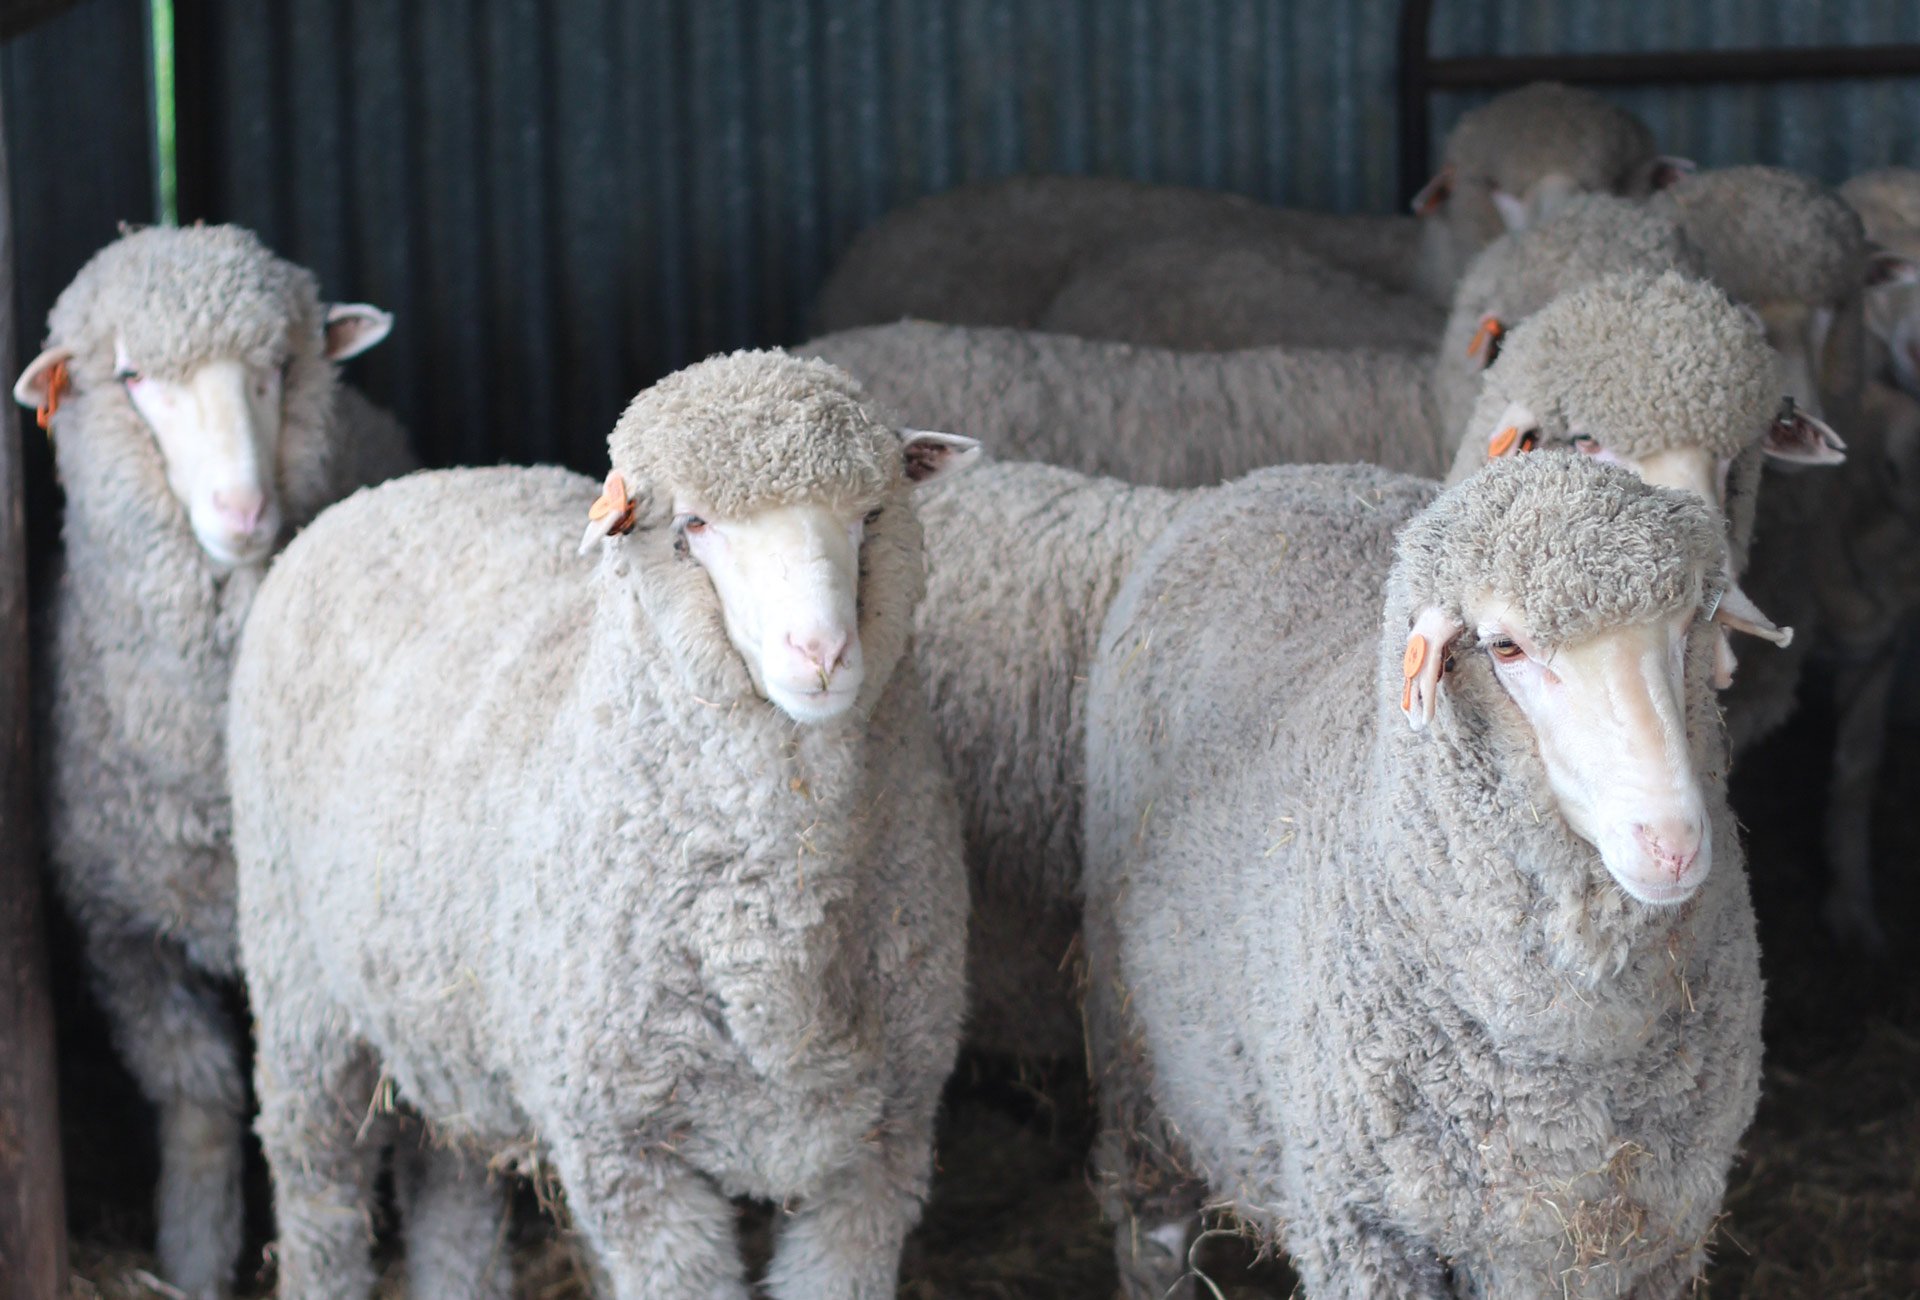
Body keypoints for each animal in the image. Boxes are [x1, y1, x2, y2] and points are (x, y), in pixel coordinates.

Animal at [7, 223, 408, 1300]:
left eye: (280, 367)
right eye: (132, 377)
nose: (243, 509)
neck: (203, 781)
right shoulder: (123, 933)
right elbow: (198, 1102)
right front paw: (189, 1256)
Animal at [225, 350, 979, 1300]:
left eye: (871, 514)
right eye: (694, 525)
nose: (822, 655)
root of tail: (398, 488)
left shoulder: (879, 1152)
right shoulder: (629, 1157)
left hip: (443, 1019)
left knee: (451, 1177)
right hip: (296, 981)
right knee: (318, 1184)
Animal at [1081, 454, 1762, 1300]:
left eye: (1687, 625)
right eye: (1505, 648)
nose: (1670, 843)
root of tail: (1281, 475)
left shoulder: (1643, 1239)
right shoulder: (1364, 1232)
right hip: (1134, 1042)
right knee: (1149, 1208)